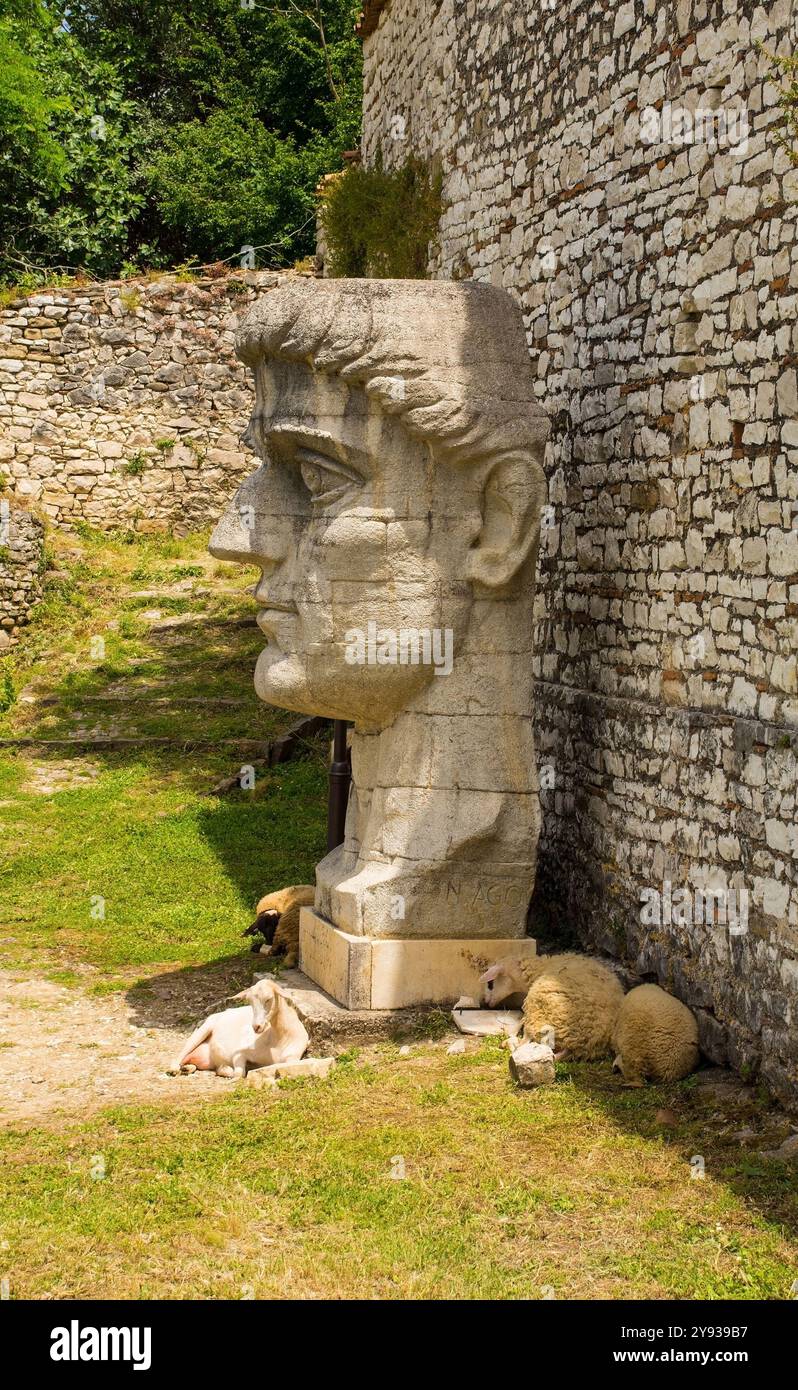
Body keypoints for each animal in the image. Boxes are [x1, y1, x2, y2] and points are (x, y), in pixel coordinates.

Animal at [168, 977, 309, 1080]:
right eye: (250, 1002)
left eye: (269, 999)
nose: (256, 1026)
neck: (278, 1038)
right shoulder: (240, 1053)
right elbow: (238, 1073)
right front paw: (226, 1070)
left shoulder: (292, 1058)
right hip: (203, 1030)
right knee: (182, 1053)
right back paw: (174, 1069)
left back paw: (187, 1068)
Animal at [480, 952, 623, 1060]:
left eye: (490, 984)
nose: (485, 1003)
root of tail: (575, 1045)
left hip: (537, 1011)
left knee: (522, 1044)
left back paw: (506, 1042)